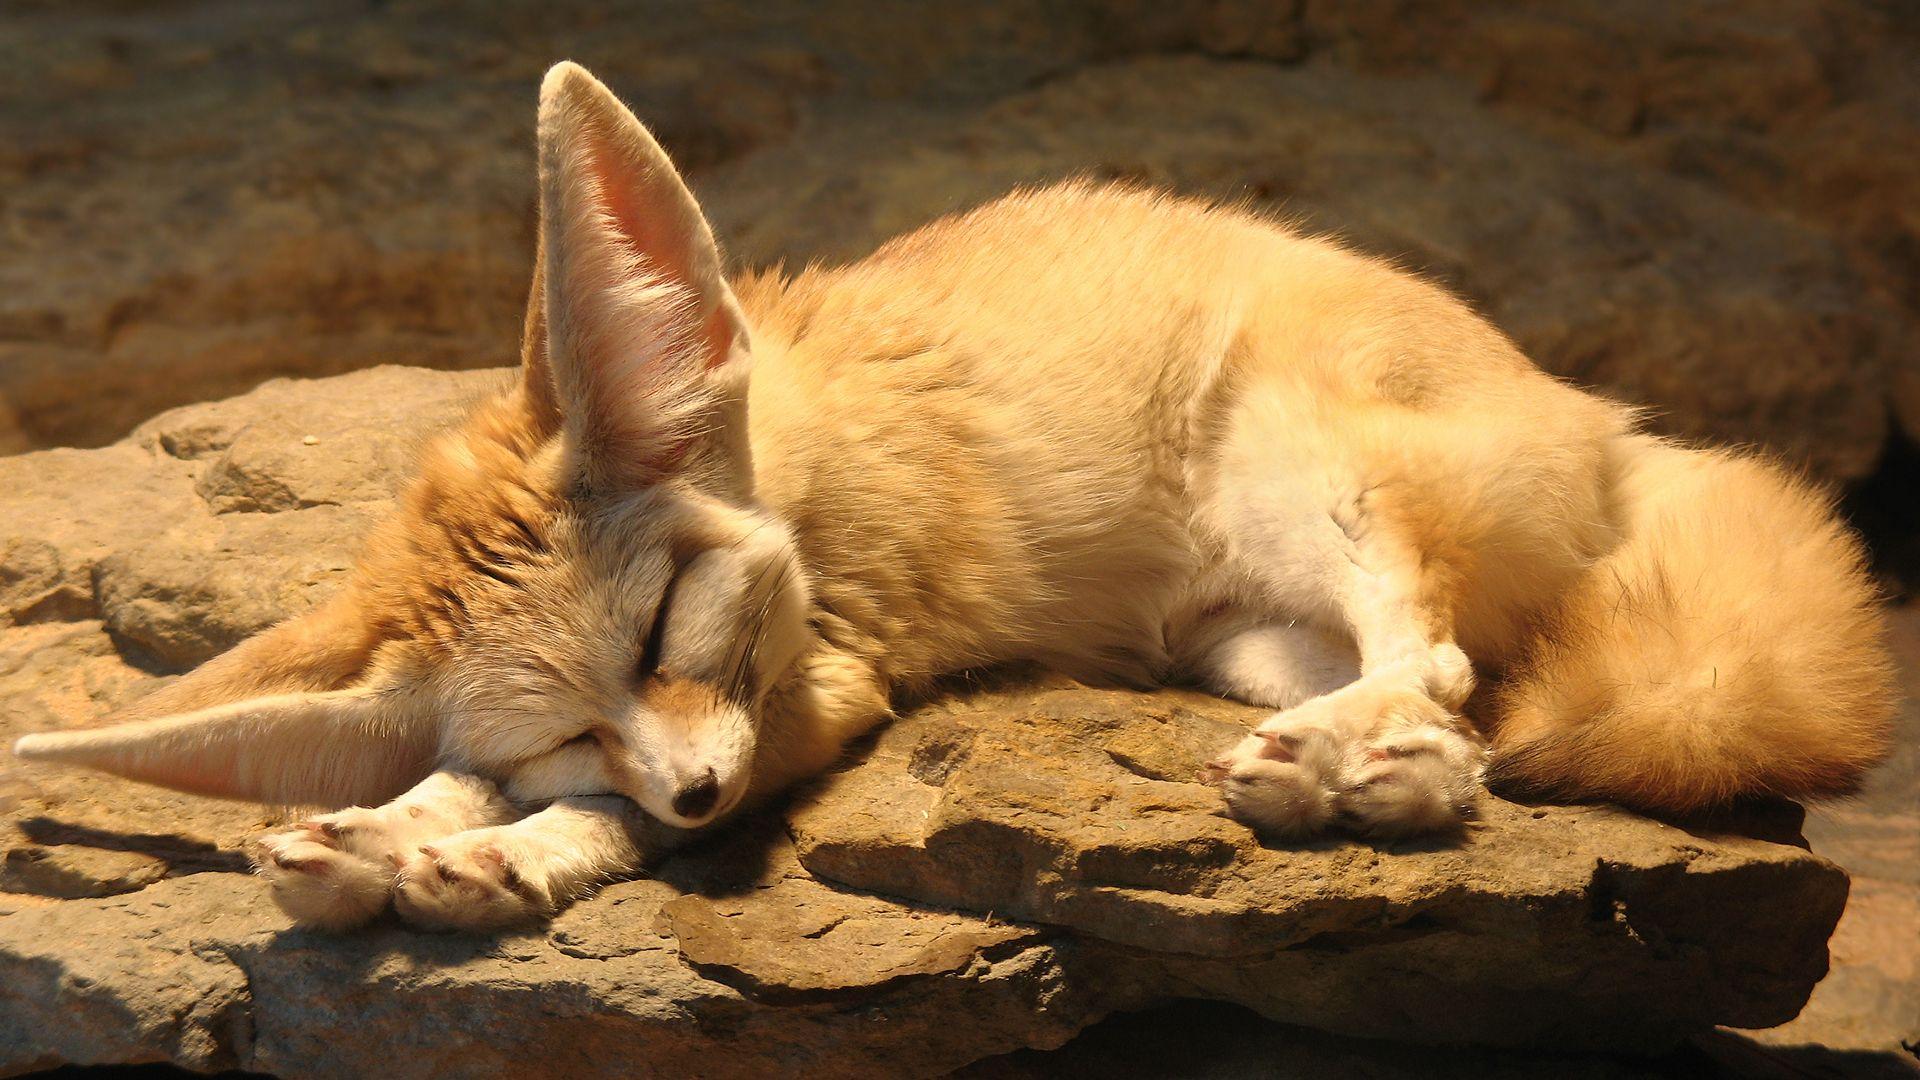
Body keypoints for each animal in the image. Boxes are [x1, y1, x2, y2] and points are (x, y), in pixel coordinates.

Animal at [11, 62, 1896, 933]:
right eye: (564, 716)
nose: (701, 792)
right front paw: (391, 824)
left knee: (1440, 675)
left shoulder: (815, 689)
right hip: (1233, 638)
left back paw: (1357, 772)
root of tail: (1606, 416)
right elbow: (465, 778)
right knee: (1472, 710)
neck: (780, 454)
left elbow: (606, 828)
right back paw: (1362, 769)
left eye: (672, 623)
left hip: (1302, 475)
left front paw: (502, 853)